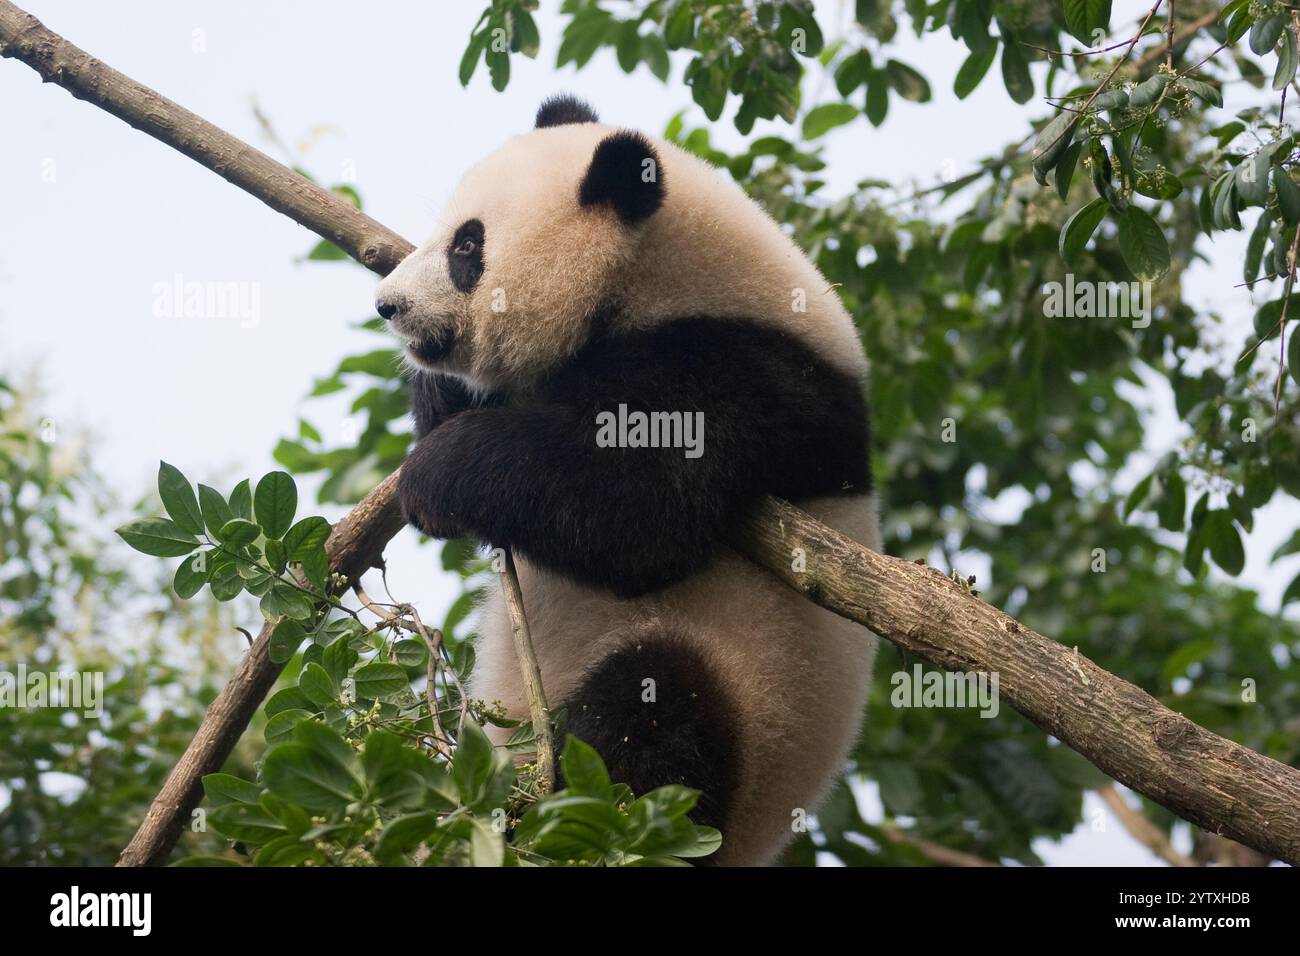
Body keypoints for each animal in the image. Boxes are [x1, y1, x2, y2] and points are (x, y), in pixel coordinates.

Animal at [374, 95, 880, 866]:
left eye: (467, 247)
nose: (388, 305)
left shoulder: (745, 374)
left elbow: (639, 512)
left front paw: (435, 475)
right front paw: (440, 404)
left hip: (753, 713)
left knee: (658, 711)